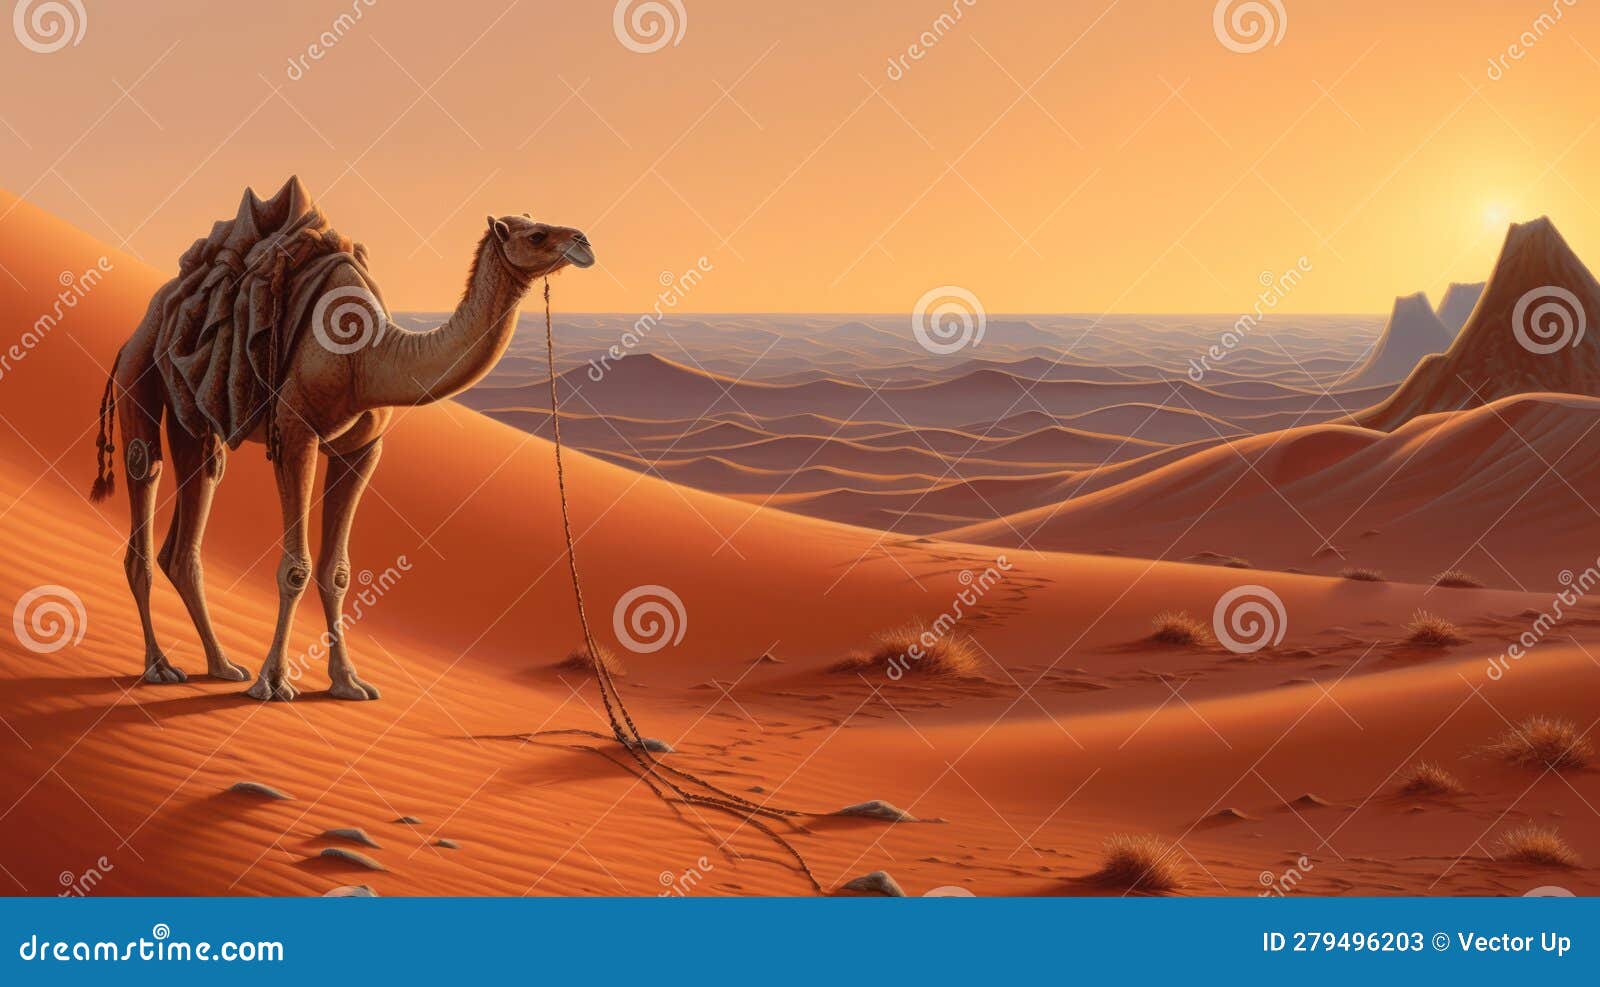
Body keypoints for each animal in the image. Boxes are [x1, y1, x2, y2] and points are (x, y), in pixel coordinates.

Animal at [92, 214, 595, 701]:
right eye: (537, 233)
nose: (584, 242)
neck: (369, 357)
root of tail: (150, 315)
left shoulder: (362, 449)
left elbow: (336, 572)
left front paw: (347, 683)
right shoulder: (295, 433)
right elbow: (296, 568)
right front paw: (273, 682)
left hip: (194, 417)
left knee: (191, 518)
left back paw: (221, 665)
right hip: (140, 372)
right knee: (145, 475)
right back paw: (159, 666)